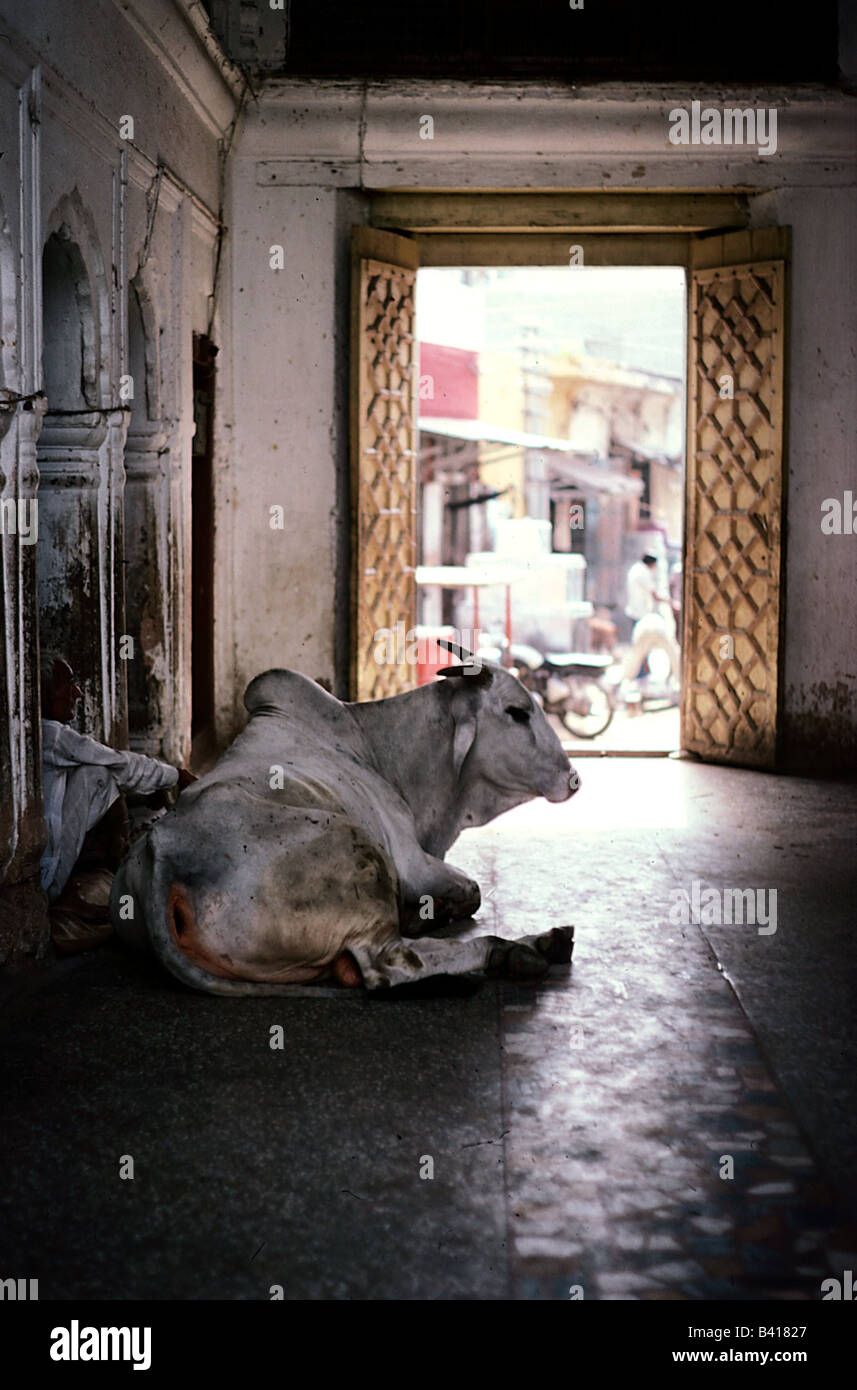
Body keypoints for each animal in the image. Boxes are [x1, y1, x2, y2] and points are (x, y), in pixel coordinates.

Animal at [110, 645, 581, 993]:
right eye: (517, 711)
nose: (573, 778)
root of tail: (164, 857)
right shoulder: (412, 860)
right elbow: (472, 891)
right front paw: (432, 911)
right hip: (358, 850)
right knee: (387, 962)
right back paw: (515, 949)